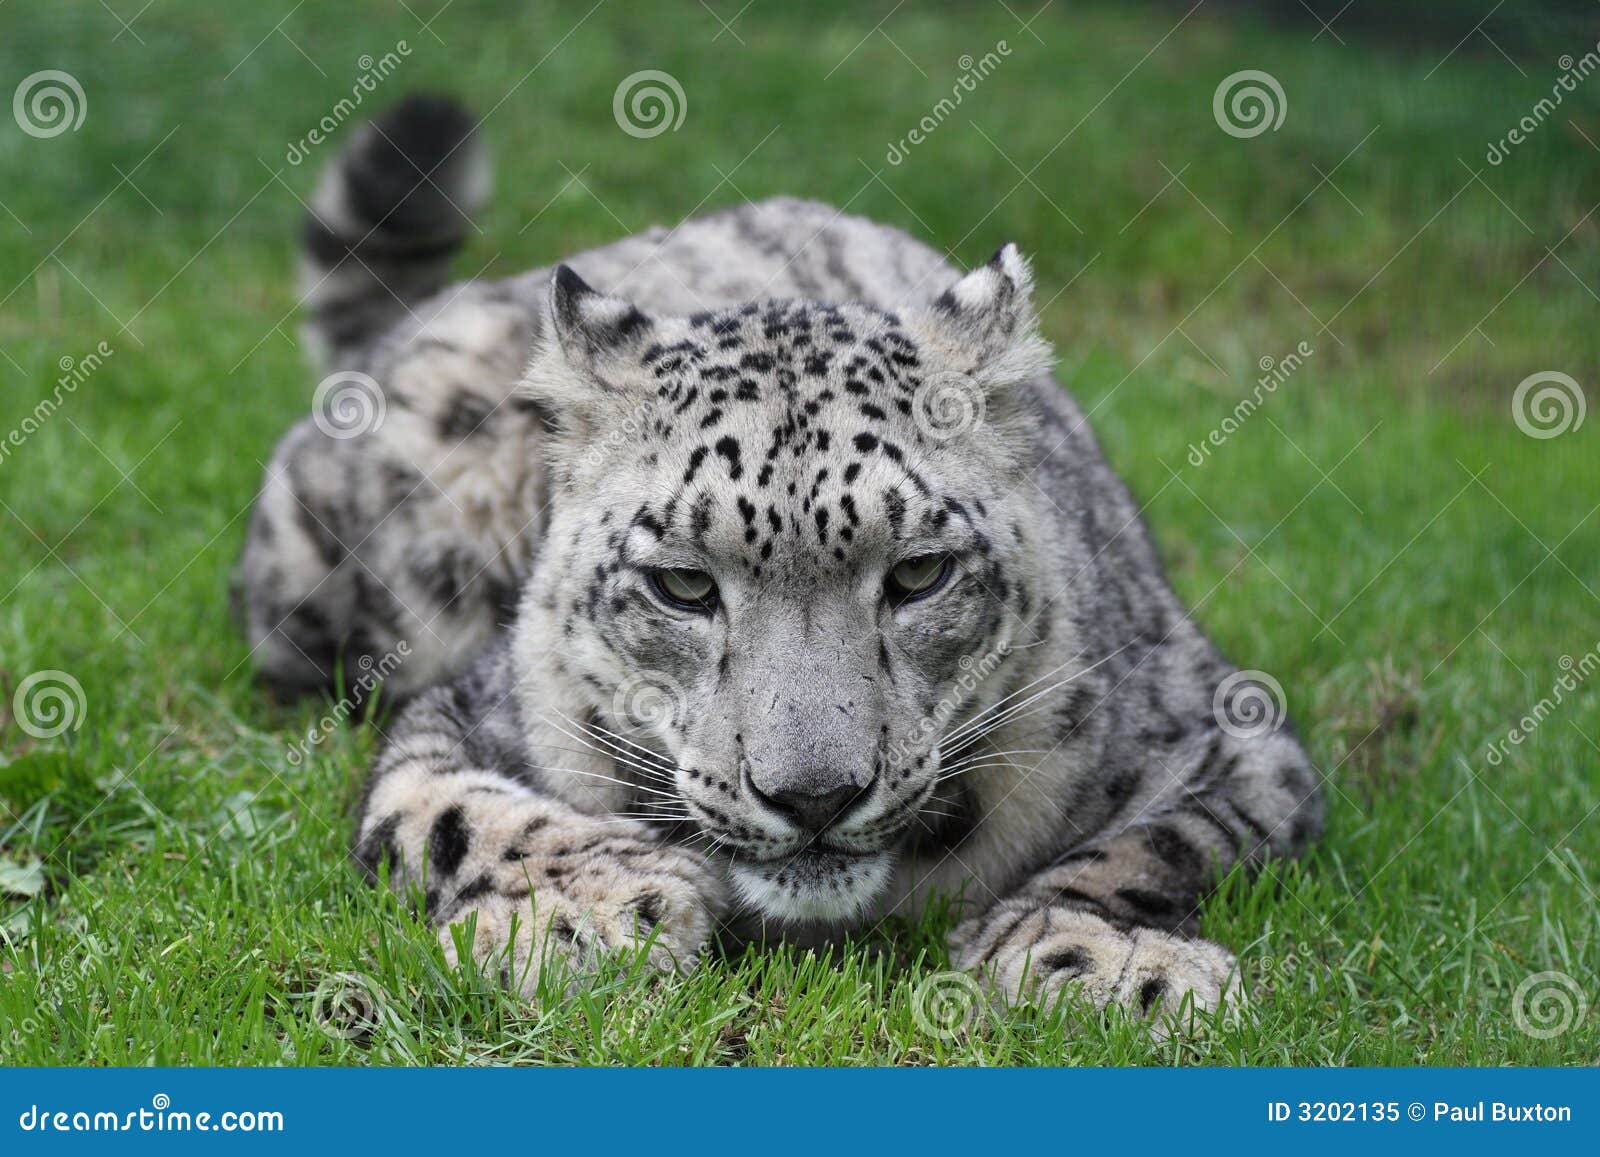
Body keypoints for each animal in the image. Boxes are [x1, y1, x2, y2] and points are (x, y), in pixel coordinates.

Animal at [236, 95, 1323, 1026]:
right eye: (682, 583)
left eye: (918, 573)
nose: (813, 797)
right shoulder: (472, 715)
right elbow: (449, 809)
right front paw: (594, 910)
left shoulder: (1226, 730)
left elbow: (1154, 841)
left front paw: (1110, 959)